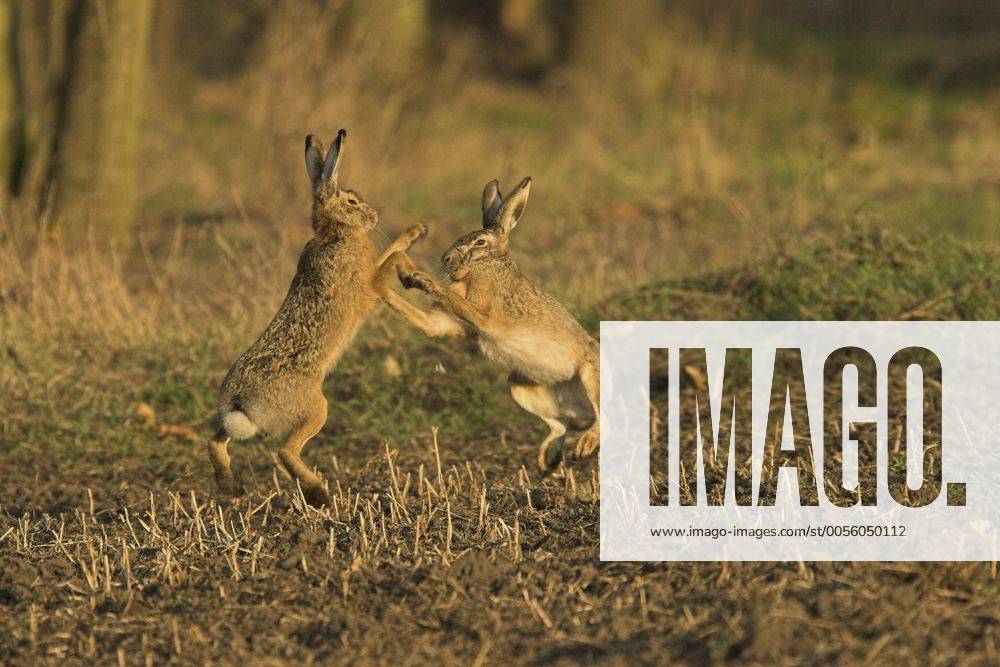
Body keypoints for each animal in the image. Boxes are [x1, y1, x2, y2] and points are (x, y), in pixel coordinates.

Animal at [207, 130, 428, 506]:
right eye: (351, 202)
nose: (373, 216)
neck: (335, 232)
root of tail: (242, 405)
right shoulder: (371, 284)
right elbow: (393, 257)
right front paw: (414, 267)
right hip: (316, 409)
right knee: (285, 452)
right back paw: (319, 494)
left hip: (229, 419)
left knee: (215, 440)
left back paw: (231, 487)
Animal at [375, 177, 599, 473]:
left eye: (480, 242)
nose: (446, 260)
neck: (485, 264)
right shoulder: (450, 322)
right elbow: (431, 322)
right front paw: (396, 275)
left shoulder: (487, 318)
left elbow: (452, 298)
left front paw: (420, 279)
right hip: (519, 388)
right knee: (561, 426)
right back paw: (547, 461)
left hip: (590, 373)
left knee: (602, 416)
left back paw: (585, 446)